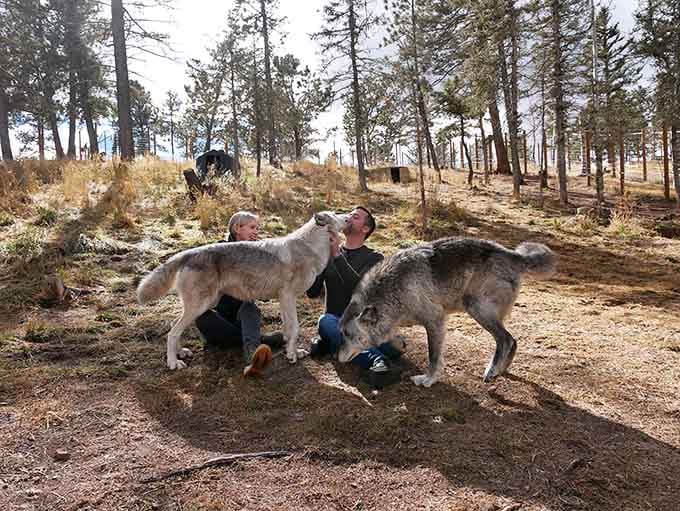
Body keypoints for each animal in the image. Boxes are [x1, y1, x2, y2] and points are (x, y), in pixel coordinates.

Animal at [137, 211, 347, 370]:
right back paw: (173, 363)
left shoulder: (284, 299)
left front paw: (292, 352)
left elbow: (289, 329)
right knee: (172, 332)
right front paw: (292, 356)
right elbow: (295, 328)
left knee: (173, 326)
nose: (349, 215)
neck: (309, 248)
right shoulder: (288, 296)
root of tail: (187, 253)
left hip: (203, 304)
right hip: (200, 306)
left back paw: (181, 353)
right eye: (336, 214)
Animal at [338, 237, 556, 387]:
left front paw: (428, 380)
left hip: (476, 308)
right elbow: (393, 338)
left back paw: (491, 371)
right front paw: (399, 341)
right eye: (342, 334)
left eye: (347, 335)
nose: (336, 356)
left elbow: (433, 357)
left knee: (506, 340)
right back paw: (501, 370)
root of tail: (514, 255)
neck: (393, 289)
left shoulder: (435, 321)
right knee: (513, 341)